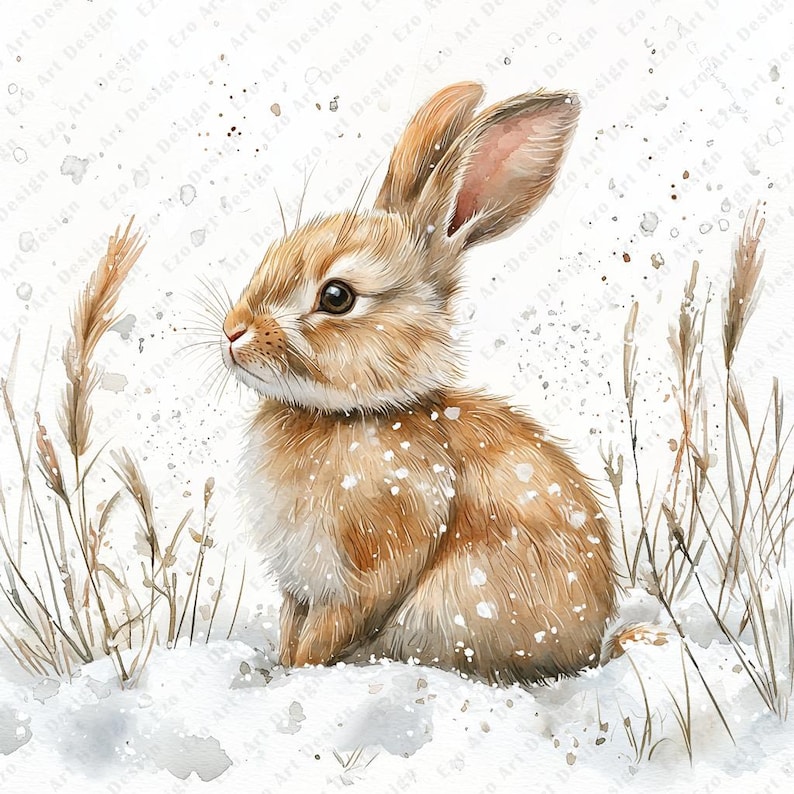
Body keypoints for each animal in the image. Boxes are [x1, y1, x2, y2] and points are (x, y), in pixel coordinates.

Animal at [221, 81, 616, 685]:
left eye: (336, 297)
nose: (232, 332)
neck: (349, 415)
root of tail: (596, 649)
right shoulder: (299, 585)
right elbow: (292, 626)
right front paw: (277, 668)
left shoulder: (369, 562)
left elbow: (329, 629)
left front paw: (294, 675)